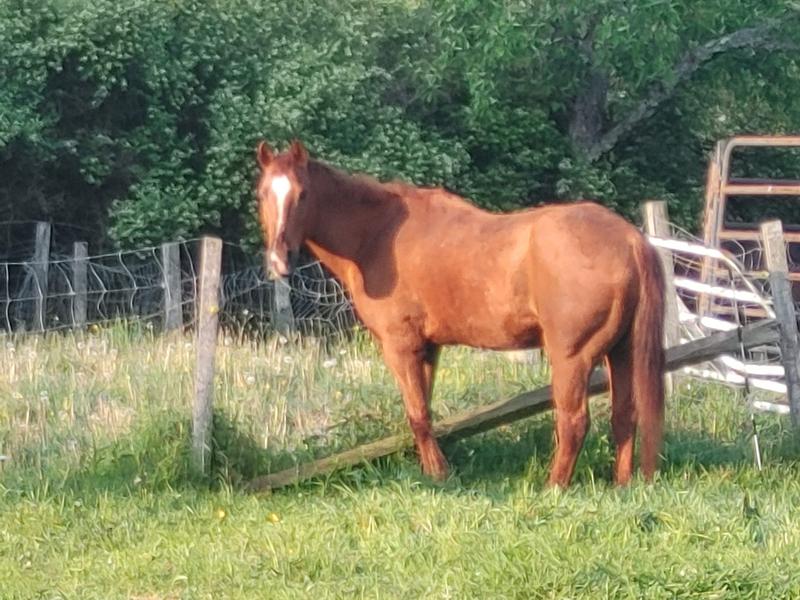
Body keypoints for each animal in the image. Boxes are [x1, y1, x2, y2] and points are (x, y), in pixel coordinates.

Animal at [255, 140, 665, 487]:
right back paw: (622, 485)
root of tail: (630, 239)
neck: (378, 236)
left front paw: (439, 476)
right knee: (624, 415)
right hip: (621, 352)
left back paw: (553, 487)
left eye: (303, 194)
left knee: (574, 421)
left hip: (572, 358)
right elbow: (424, 412)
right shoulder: (428, 348)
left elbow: (417, 414)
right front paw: (431, 471)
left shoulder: (400, 346)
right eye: (262, 193)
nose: (279, 261)